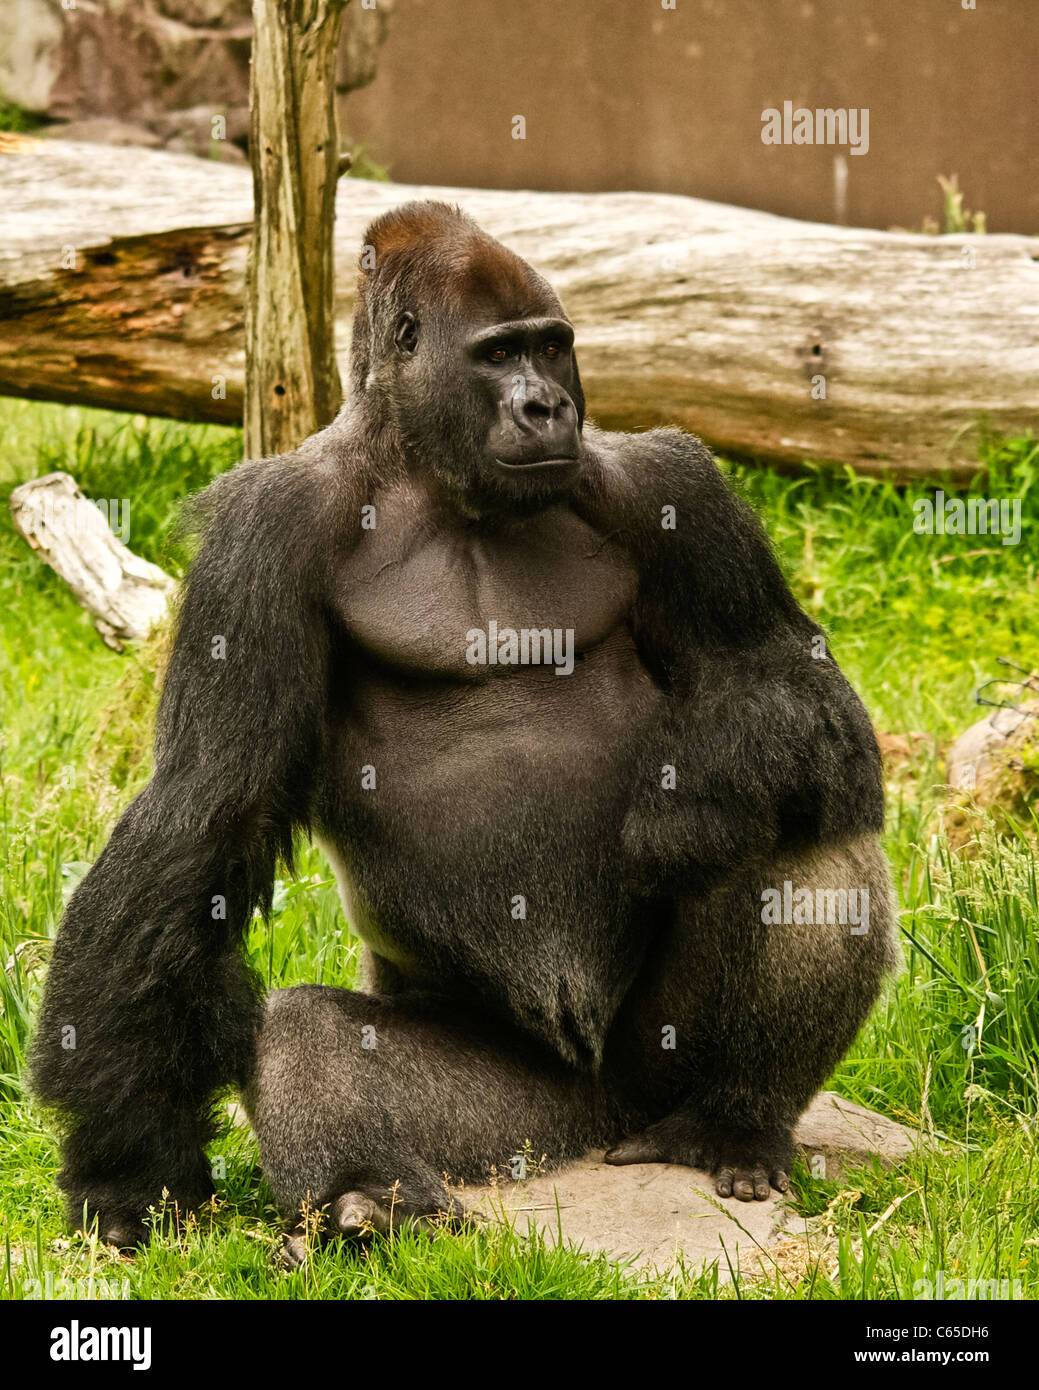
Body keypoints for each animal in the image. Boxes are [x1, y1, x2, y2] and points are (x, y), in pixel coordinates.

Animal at [31, 201, 896, 1252]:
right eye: (497, 354)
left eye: (553, 346)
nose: (546, 407)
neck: (427, 468)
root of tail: (601, 1121)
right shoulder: (259, 534)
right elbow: (206, 806)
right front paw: (128, 1161)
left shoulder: (668, 485)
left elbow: (786, 679)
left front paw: (700, 784)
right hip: (517, 1126)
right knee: (313, 1032)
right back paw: (367, 1197)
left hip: (652, 1074)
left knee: (811, 817)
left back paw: (734, 1119)